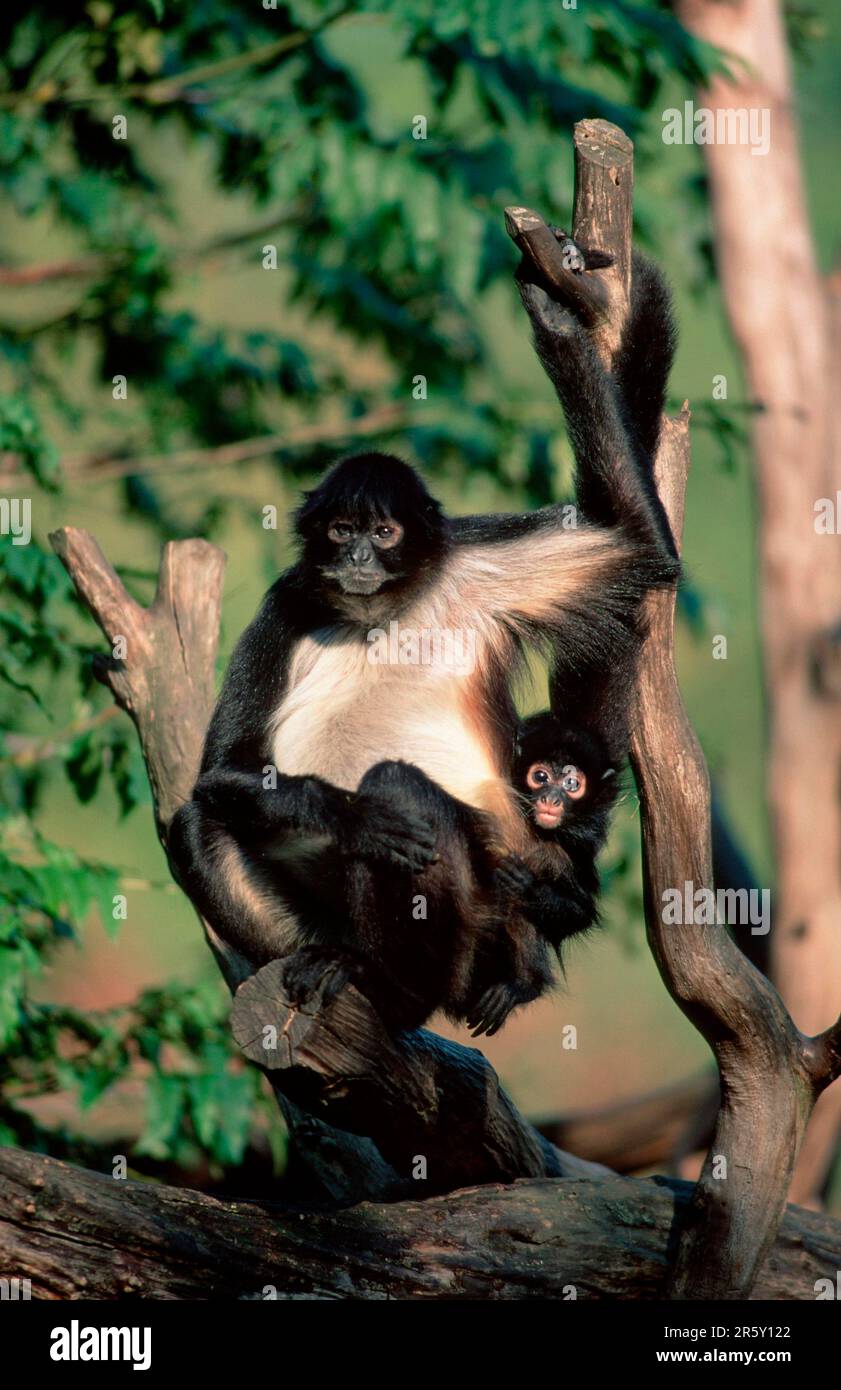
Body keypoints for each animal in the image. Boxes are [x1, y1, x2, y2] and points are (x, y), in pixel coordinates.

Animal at [168, 228, 679, 1035]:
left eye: (382, 532)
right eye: (341, 531)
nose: (355, 559)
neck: (380, 617)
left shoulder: (469, 558)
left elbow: (640, 546)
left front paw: (552, 315)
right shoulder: (287, 604)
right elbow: (220, 771)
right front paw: (355, 815)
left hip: (482, 925)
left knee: (406, 788)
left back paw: (383, 983)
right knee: (197, 822)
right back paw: (333, 950)